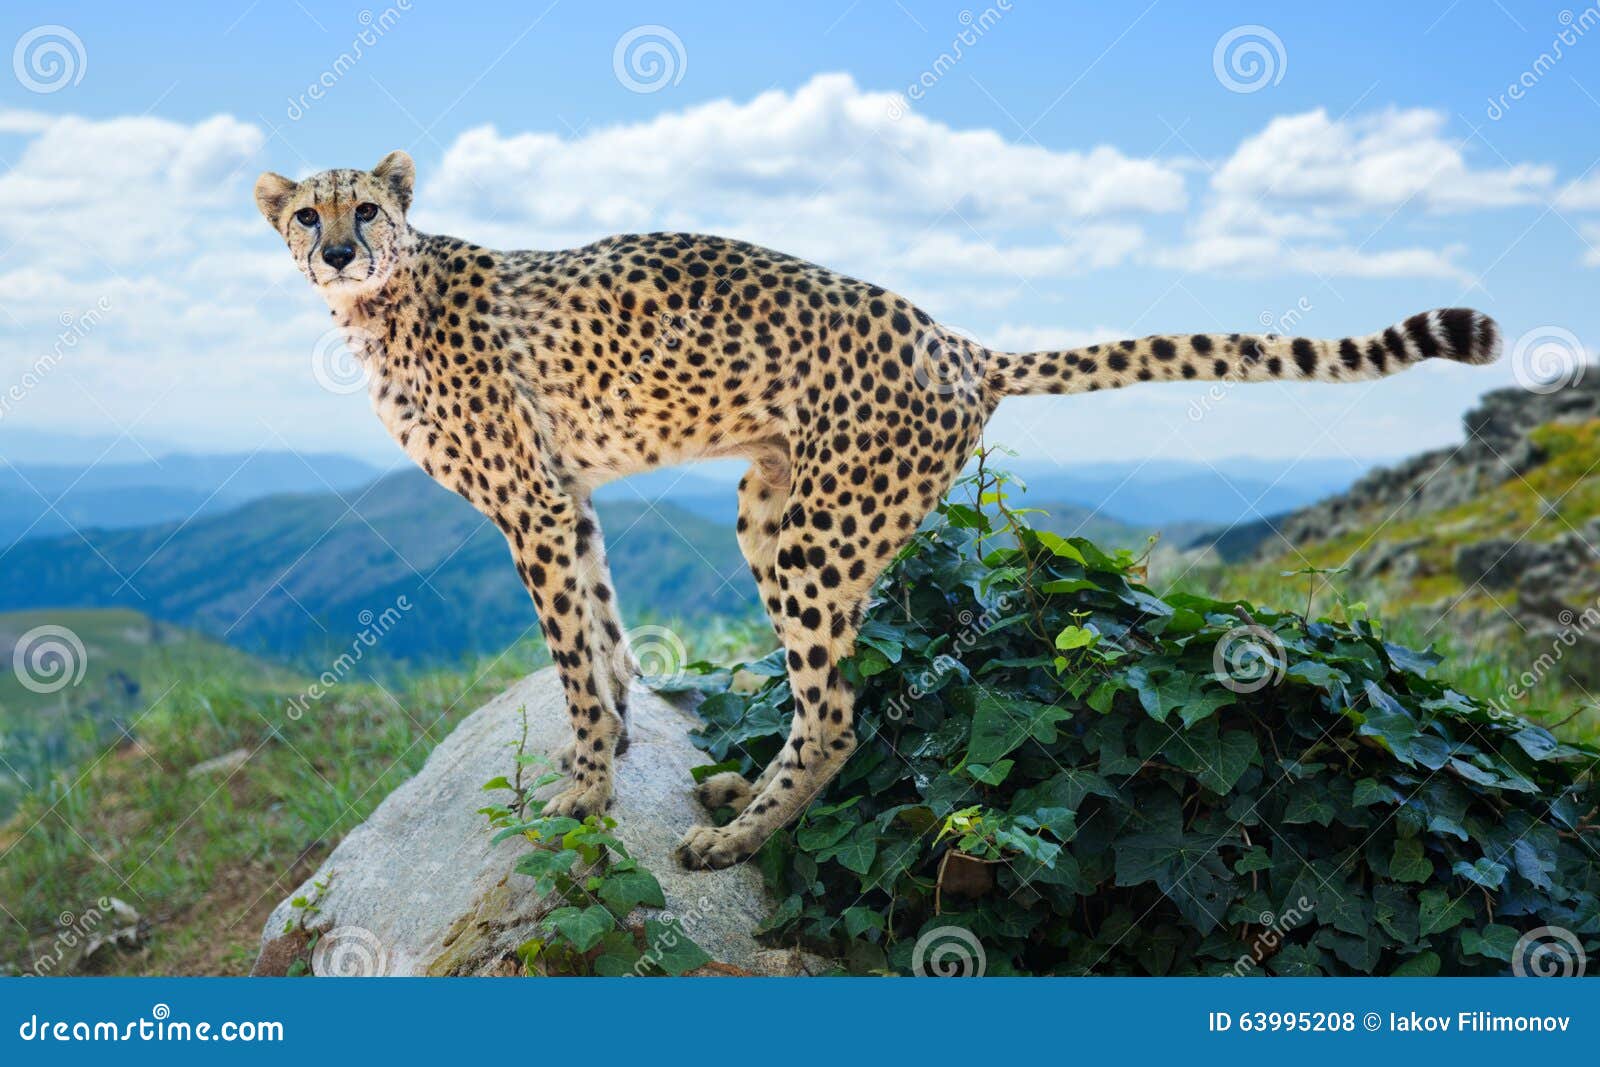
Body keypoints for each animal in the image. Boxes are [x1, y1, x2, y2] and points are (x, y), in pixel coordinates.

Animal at [255, 151, 1501, 870]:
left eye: (366, 209)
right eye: (307, 215)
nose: (337, 246)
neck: (384, 302)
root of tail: (960, 339)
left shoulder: (532, 507)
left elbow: (573, 658)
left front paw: (584, 794)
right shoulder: (569, 502)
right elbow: (604, 641)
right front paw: (611, 748)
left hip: (814, 532)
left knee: (838, 712)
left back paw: (737, 834)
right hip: (778, 506)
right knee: (829, 701)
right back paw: (739, 791)